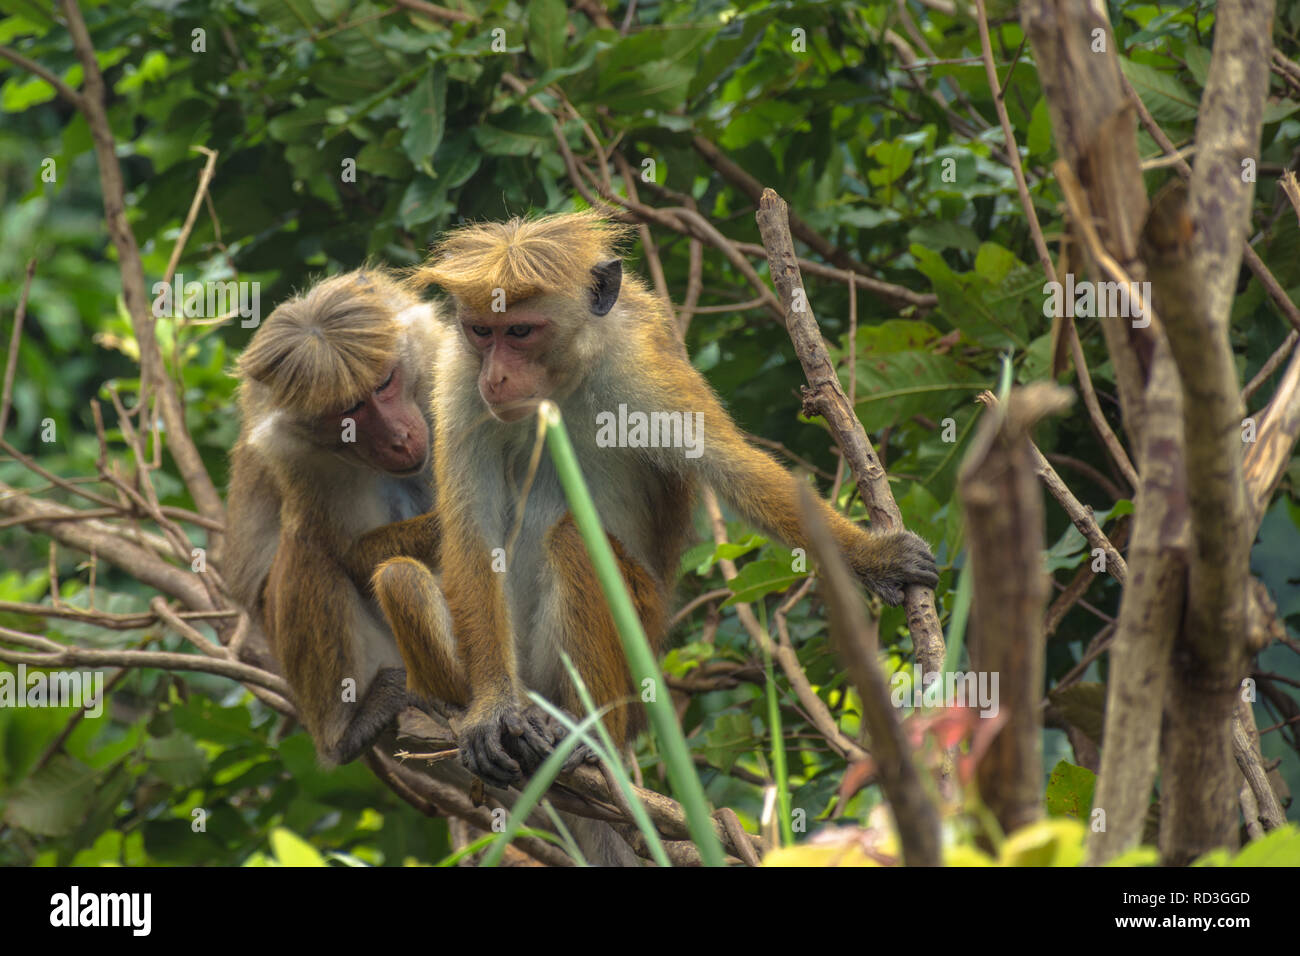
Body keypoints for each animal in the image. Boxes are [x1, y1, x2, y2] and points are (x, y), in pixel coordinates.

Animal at [224, 269, 450, 766]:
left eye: (384, 384)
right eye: (350, 410)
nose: (398, 438)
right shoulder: (305, 462)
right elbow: (351, 556)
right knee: (308, 548)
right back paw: (349, 729)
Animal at [370, 211, 938, 794]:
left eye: (520, 332)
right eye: (482, 331)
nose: (497, 377)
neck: (563, 383)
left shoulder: (643, 371)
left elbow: (736, 469)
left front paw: (873, 558)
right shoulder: (460, 383)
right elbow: (472, 532)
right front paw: (489, 711)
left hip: (635, 661)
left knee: (575, 540)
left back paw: (587, 734)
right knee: (400, 577)